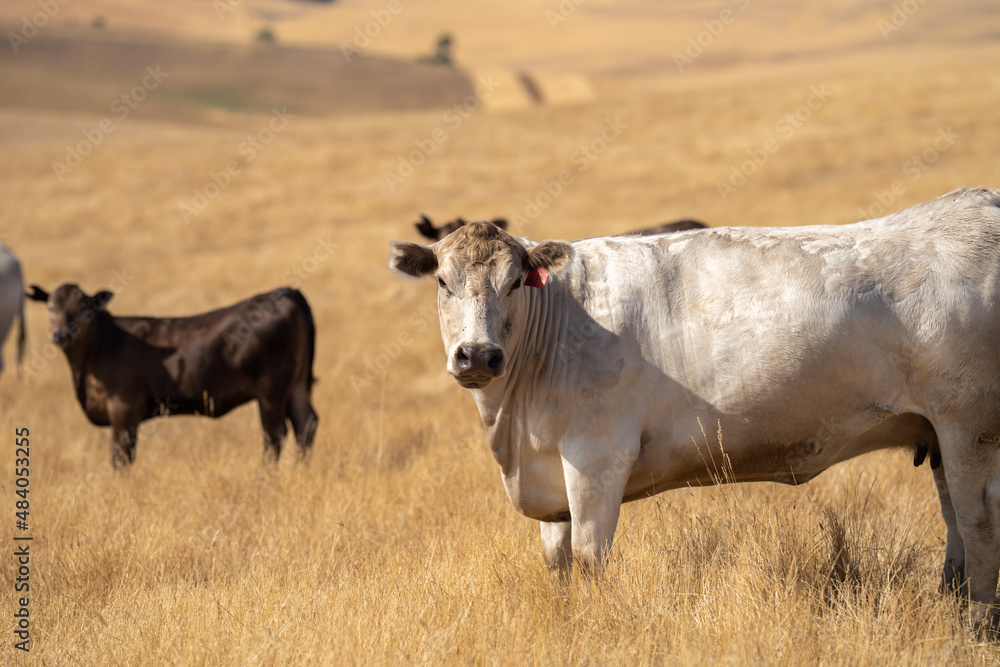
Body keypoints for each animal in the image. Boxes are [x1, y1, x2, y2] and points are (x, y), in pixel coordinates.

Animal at [25, 284, 318, 467]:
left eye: (84, 308)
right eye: (50, 308)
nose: (61, 334)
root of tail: (285, 292)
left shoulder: (123, 409)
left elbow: (121, 457)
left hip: (271, 390)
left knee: (275, 434)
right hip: (296, 386)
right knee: (305, 424)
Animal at [390, 187, 1000, 626]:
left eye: (515, 281)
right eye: (442, 280)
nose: (477, 354)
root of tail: (976, 202)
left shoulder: (596, 457)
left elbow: (589, 558)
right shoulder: (550, 479)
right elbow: (558, 564)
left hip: (972, 427)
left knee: (978, 521)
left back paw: (976, 624)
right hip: (938, 433)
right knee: (955, 523)